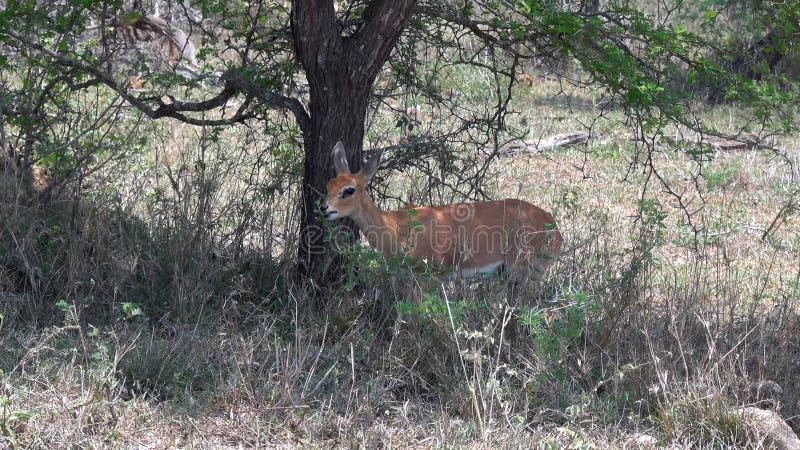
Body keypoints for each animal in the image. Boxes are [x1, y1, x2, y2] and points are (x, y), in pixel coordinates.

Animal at [322, 142, 562, 288]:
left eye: (349, 190)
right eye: (330, 184)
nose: (325, 209)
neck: (395, 226)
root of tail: (554, 225)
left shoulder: (431, 278)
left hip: (527, 273)